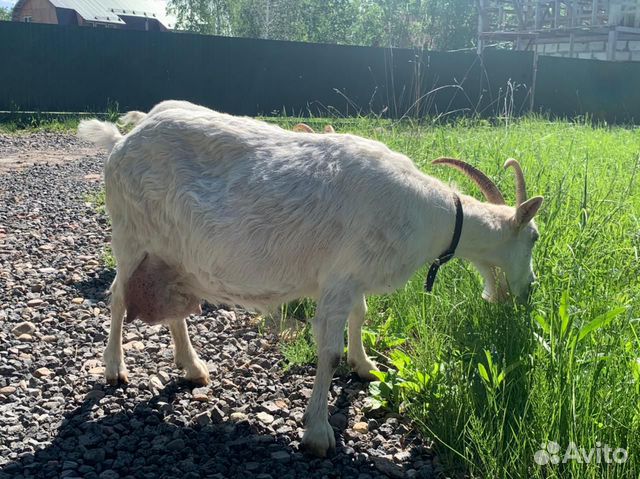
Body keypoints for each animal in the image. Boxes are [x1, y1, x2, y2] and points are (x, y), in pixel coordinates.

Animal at [77, 105, 543, 457]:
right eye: (534, 237)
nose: (529, 290)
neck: (427, 216)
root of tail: (121, 140)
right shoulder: (341, 277)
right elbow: (329, 352)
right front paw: (319, 433)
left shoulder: (351, 277)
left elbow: (361, 316)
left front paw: (366, 367)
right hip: (130, 234)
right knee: (117, 296)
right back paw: (115, 370)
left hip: (171, 251)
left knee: (172, 302)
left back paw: (192, 368)